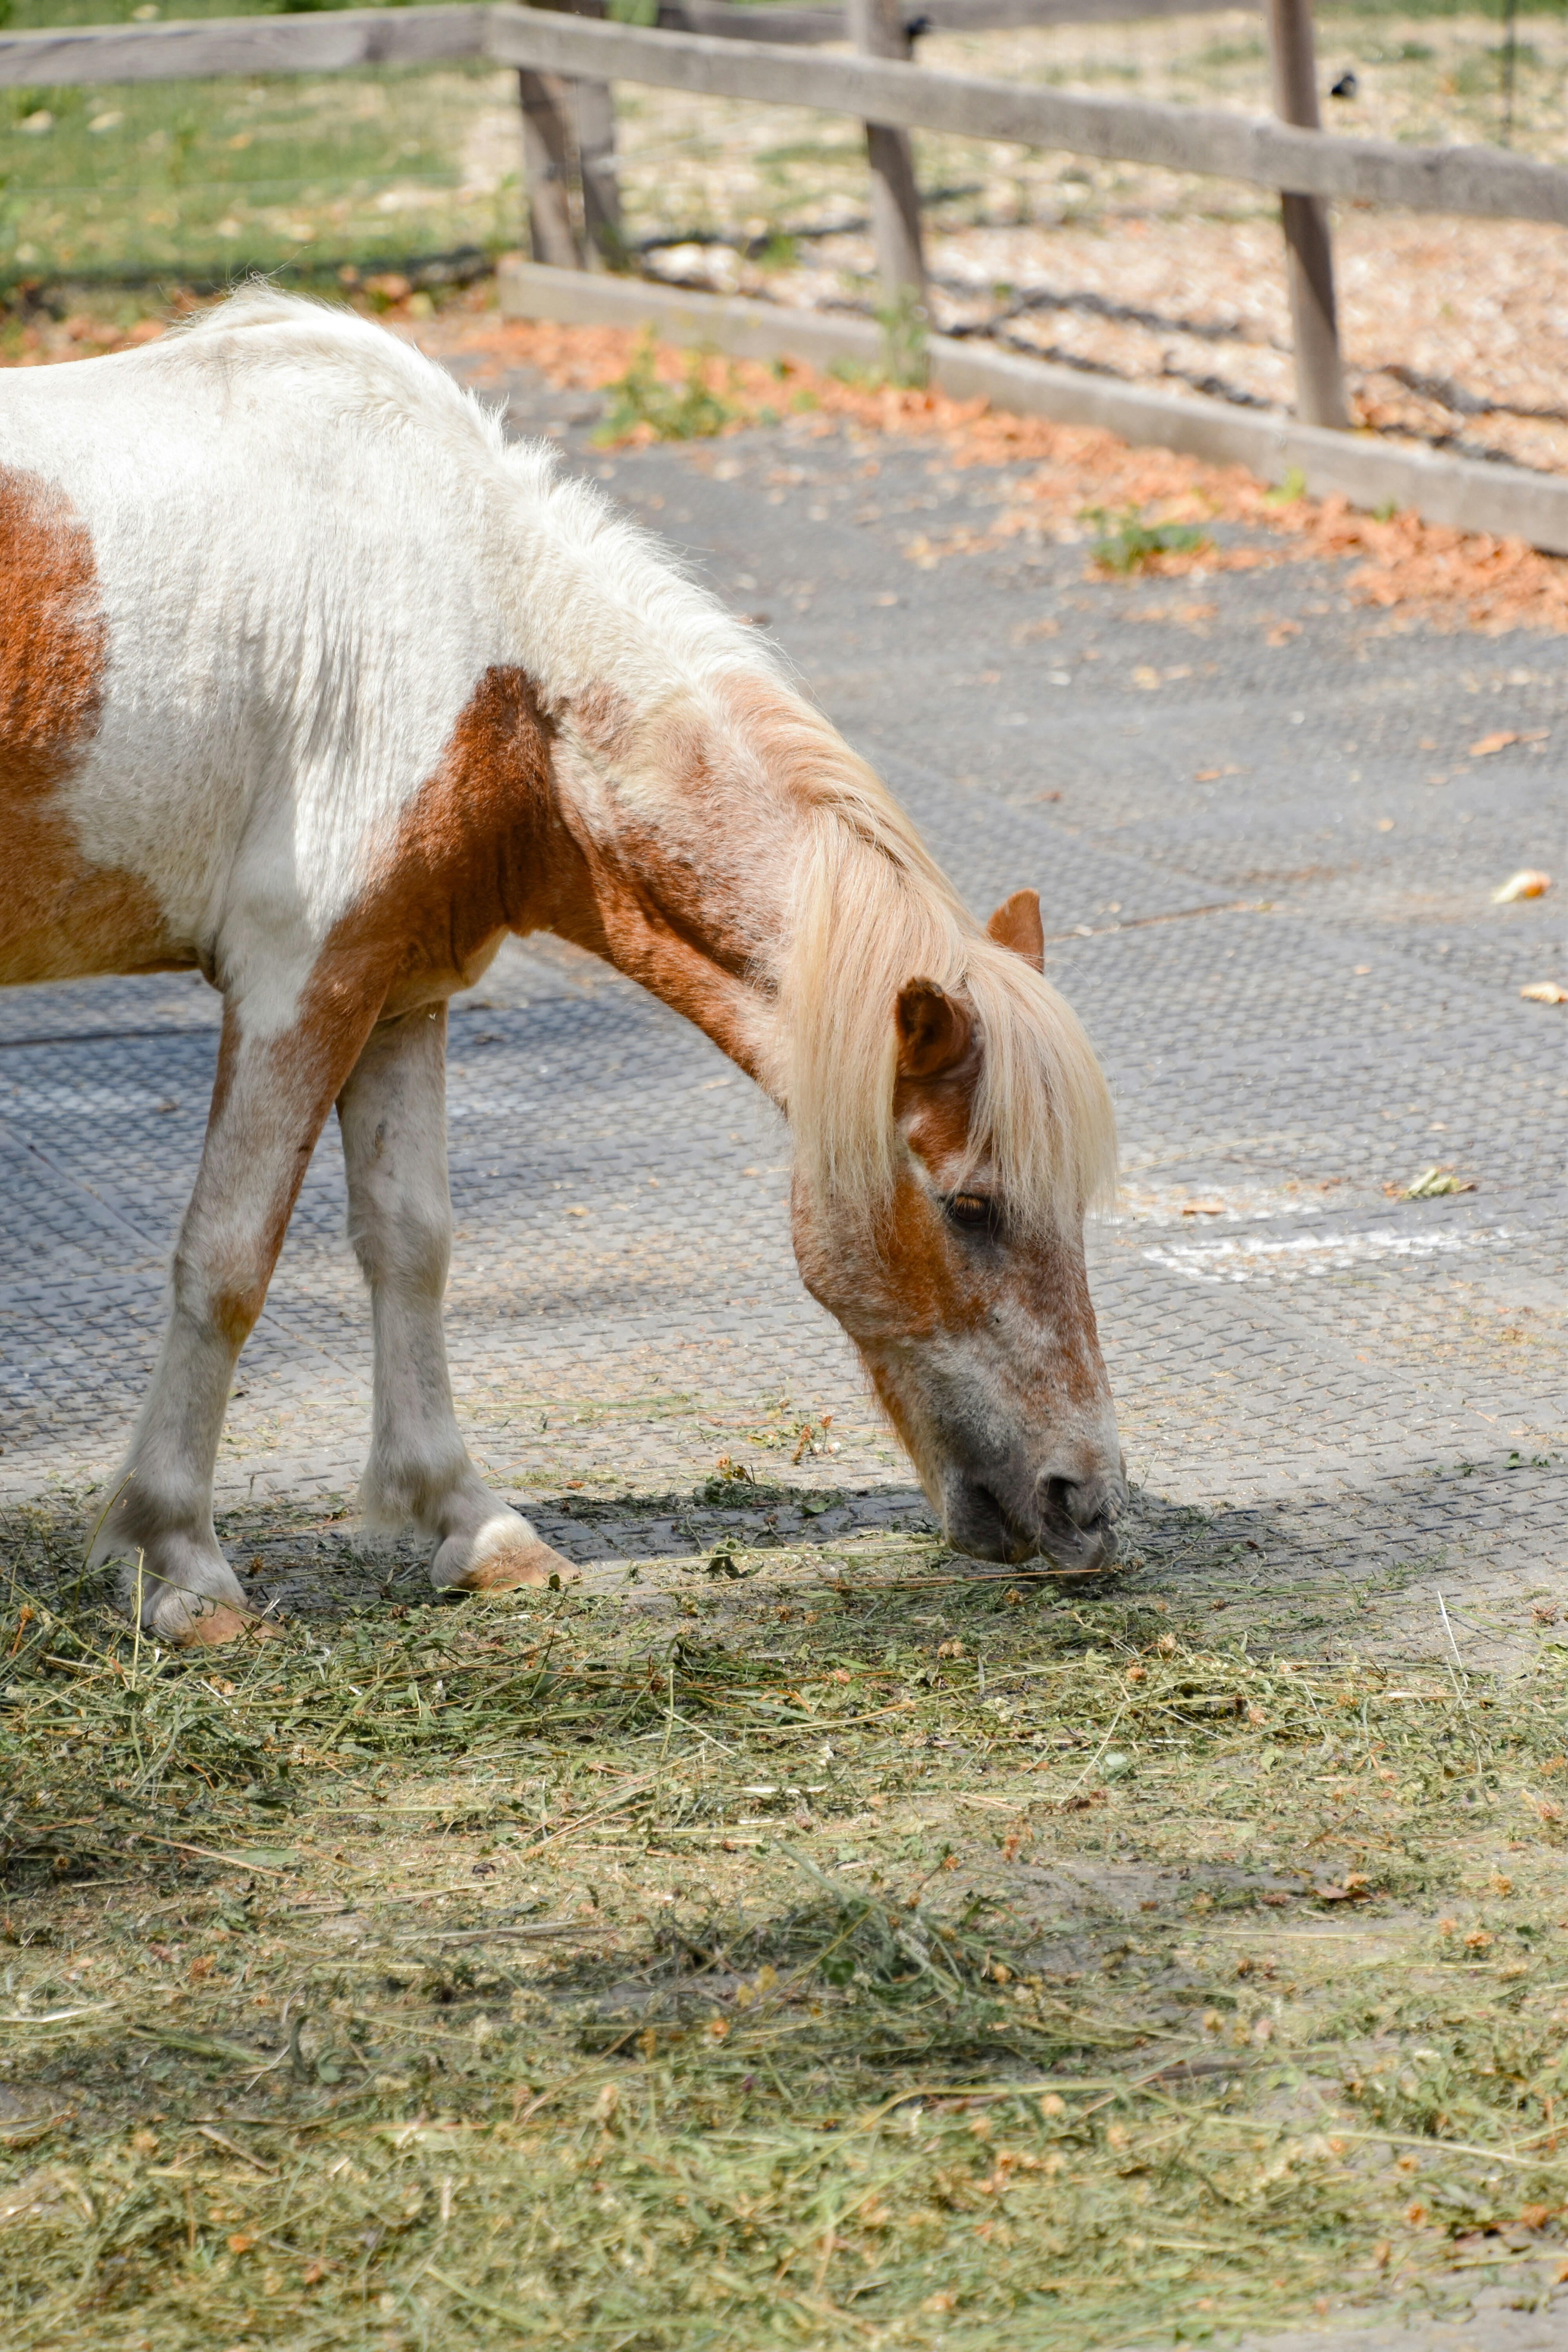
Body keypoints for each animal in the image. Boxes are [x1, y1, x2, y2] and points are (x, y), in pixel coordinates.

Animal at [0, 290, 1125, 1647]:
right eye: (969, 1206)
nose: (1086, 1505)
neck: (476, 645)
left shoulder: (396, 989)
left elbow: (411, 1244)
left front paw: (471, 1525)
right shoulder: (296, 986)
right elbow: (226, 1262)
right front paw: (178, 1565)